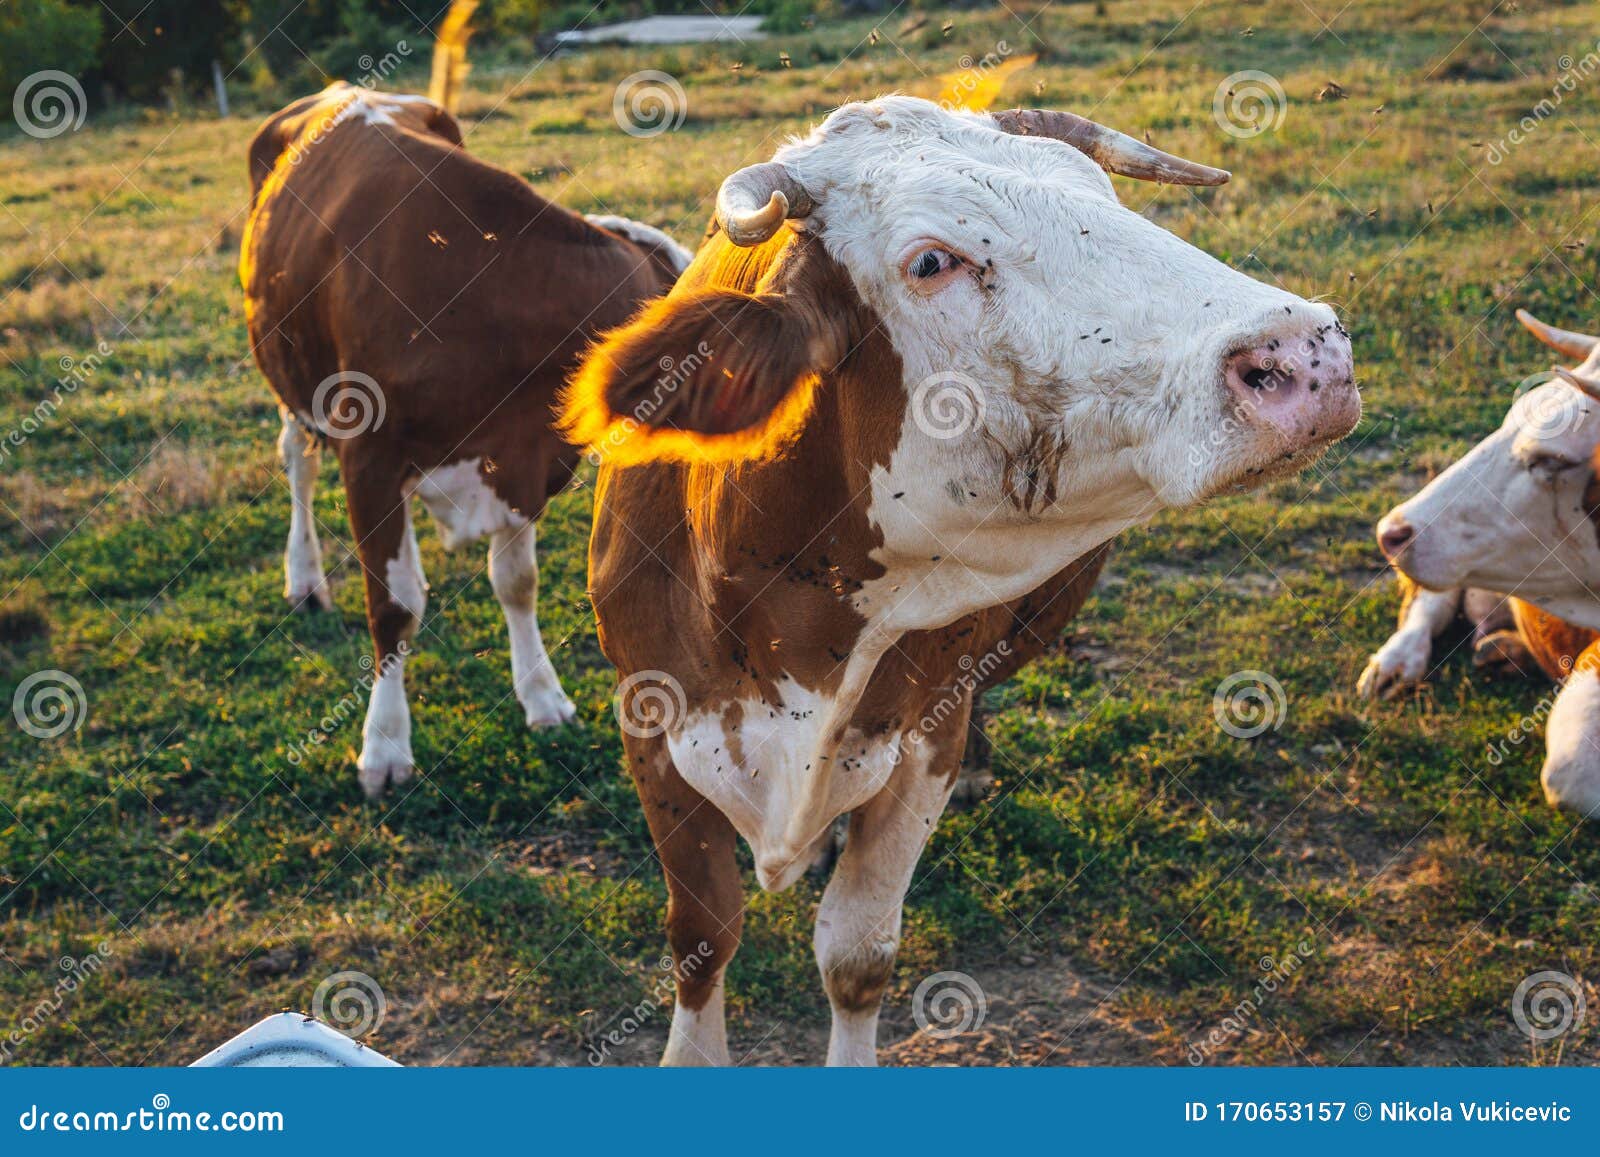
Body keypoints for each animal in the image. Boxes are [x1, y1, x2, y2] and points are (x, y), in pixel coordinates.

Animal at [242, 83, 692, 797]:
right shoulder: (368, 459)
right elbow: (392, 608)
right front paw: (384, 745)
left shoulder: (526, 463)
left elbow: (516, 581)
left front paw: (542, 697)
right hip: (291, 379)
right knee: (298, 466)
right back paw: (305, 579)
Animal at [561, 96, 1360, 1065]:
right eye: (932, 261)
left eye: (1105, 201)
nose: (1305, 352)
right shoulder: (650, 725)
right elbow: (702, 936)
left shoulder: (923, 740)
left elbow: (857, 954)